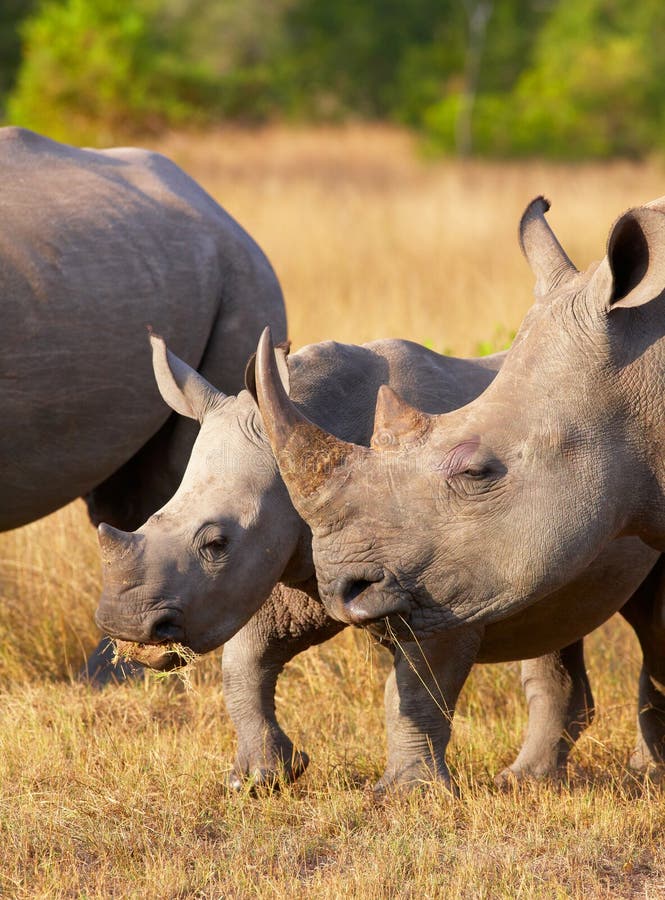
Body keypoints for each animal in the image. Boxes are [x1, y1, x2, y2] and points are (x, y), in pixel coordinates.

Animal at [96, 334, 661, 791]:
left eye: (216, 543)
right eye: (151, 516)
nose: (126, 628)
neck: (319, 416)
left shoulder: (441, 583)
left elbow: (413, 689)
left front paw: (407, 796)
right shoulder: (298, 569)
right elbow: (246, 663)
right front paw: (260, 779)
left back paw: (645, 774)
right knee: (554, 620)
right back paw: (526, 782)